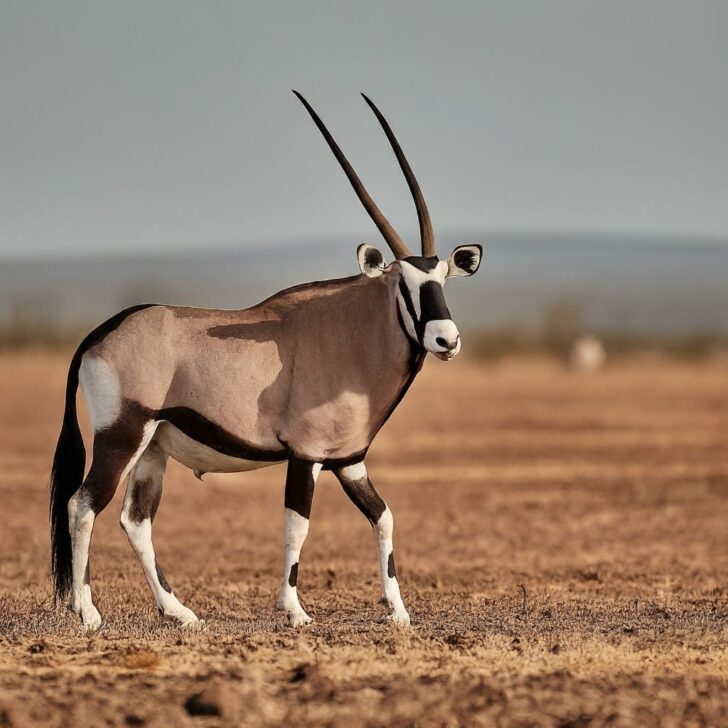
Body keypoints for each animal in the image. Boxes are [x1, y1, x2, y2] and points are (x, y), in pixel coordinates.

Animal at [49, 92, 482, 631]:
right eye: (403, 283)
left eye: (442, 279)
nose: (446, 339)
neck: (351, 330)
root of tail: (98, 335)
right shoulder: (306, 455)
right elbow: (297, 527)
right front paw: (294, 610)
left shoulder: (348, 460)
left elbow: (384, 516)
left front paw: (398, 611)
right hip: (122, 434)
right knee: (83, 504)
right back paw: (87, 612)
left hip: (153, 446)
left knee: (135, 519)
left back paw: (178, 612)